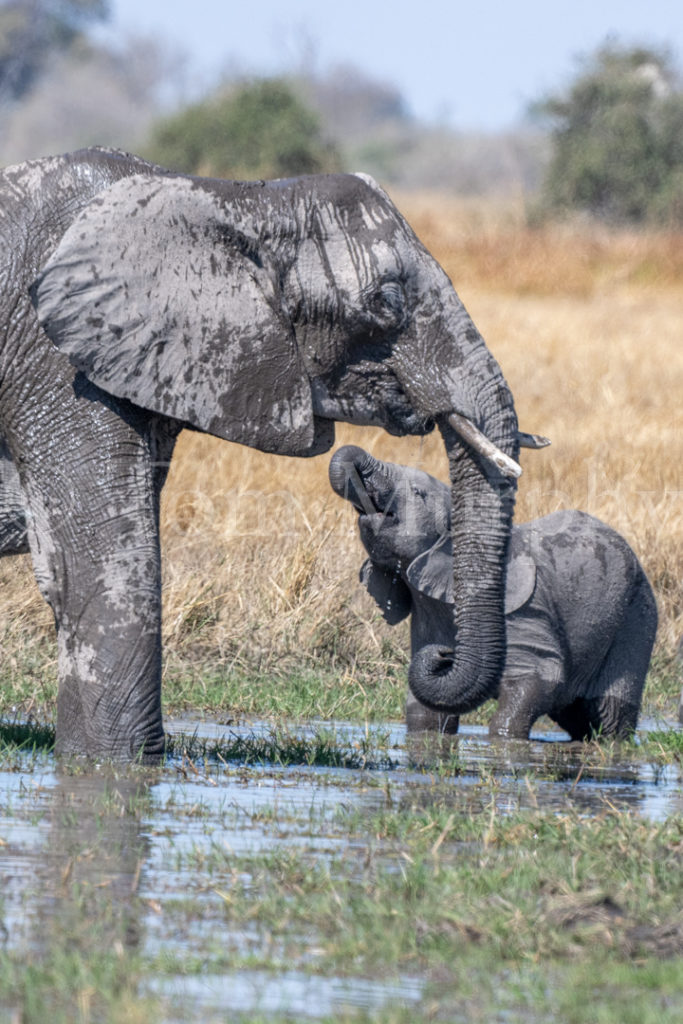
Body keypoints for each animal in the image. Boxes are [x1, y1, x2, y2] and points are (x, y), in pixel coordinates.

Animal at [0, 145, 534, 760]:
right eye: (387, 302)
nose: (440, 656)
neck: (241, 200)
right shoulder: (57, 361)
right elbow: (102, 566)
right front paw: (119, 766)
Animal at [329, 445, 658, 740]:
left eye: (418, 492)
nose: (445, 653)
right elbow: (426, 712)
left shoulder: (523, 614)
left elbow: (538, 680)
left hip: (636, 614)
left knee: (609, 717)